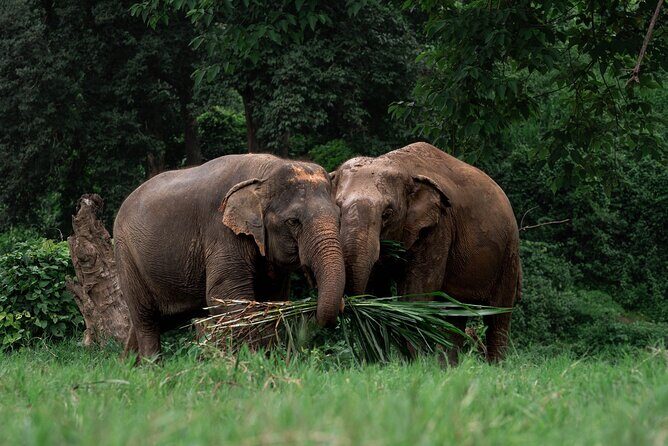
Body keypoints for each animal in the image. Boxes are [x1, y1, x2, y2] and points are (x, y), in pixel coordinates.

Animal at [114, 154, 346, 359]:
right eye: (293, 222)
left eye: (339, 217)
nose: (344, 305)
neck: (264, 173)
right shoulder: (222, 232)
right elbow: (226, 296)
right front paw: (250, 360)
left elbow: (272, 300)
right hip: (126, 255)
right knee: (146, 321)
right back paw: (151, 366)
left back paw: (129, 365)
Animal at [332, 142, 522, 362]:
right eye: (338, 208)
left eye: (387, 214)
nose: (345, 305)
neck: (402, 166)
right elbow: (375, 289)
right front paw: (381, 363)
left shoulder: (438, 228)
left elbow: (416, 293)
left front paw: (417, 364)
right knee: (454, 316)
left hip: (509, 253)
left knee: (498, 316)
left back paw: (495, 365)